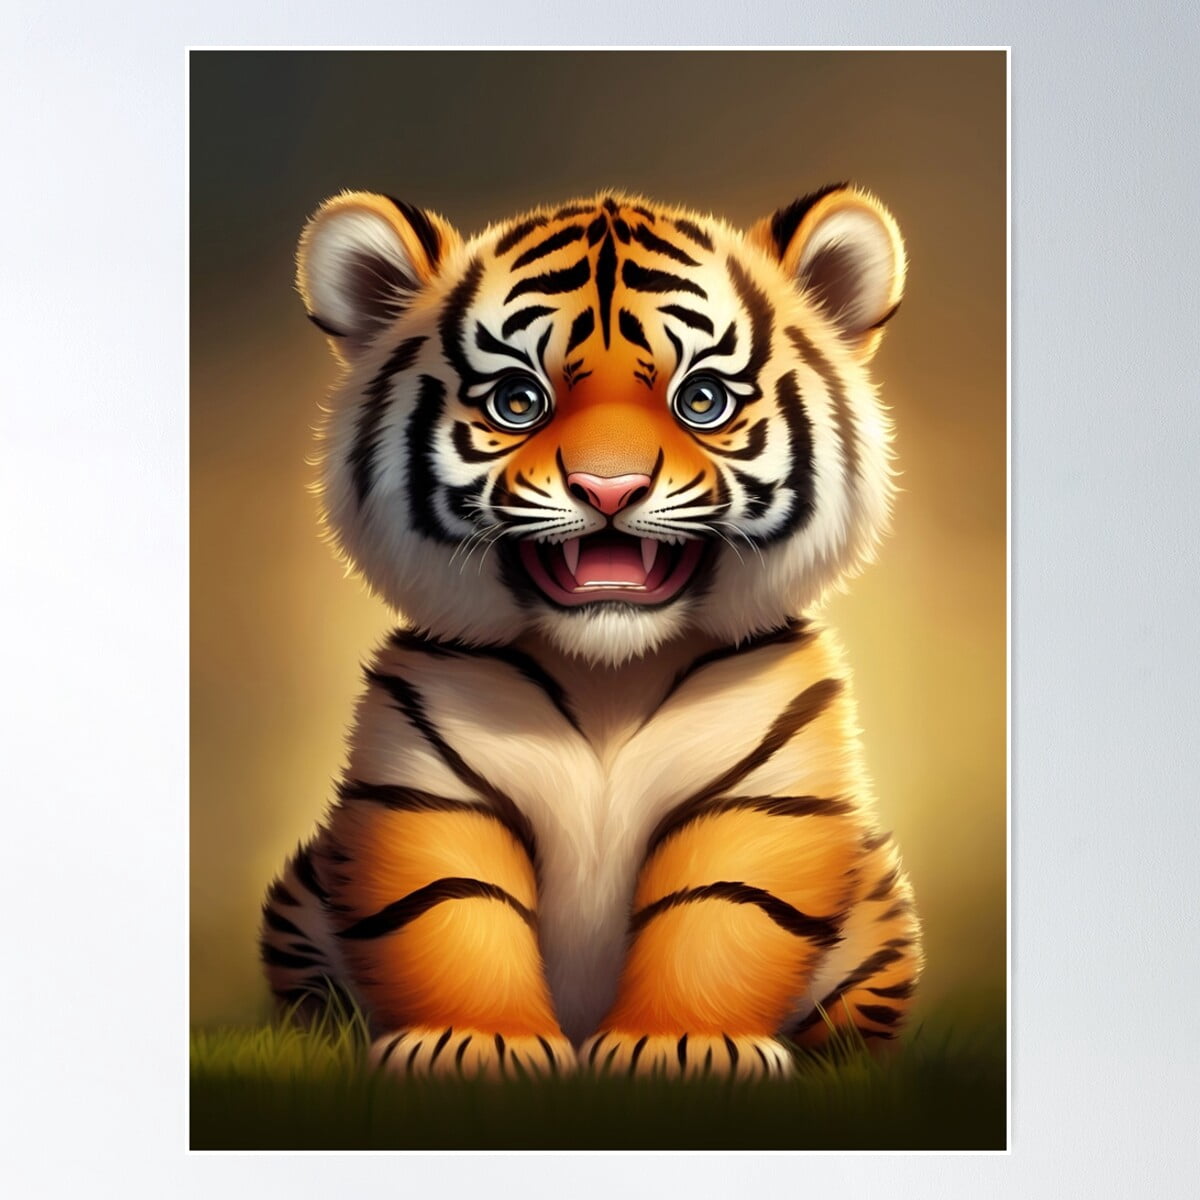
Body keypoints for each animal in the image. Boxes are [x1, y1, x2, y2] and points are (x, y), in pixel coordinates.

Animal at [259, 184, 923, 1081]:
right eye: (518, 401)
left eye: (702, 400)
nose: (610, 489)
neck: (607, 673)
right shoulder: (426, 784)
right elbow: (449, 906)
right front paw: (475, 1043)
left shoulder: (766, 792)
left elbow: (722, 911)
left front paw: (685, 1047)